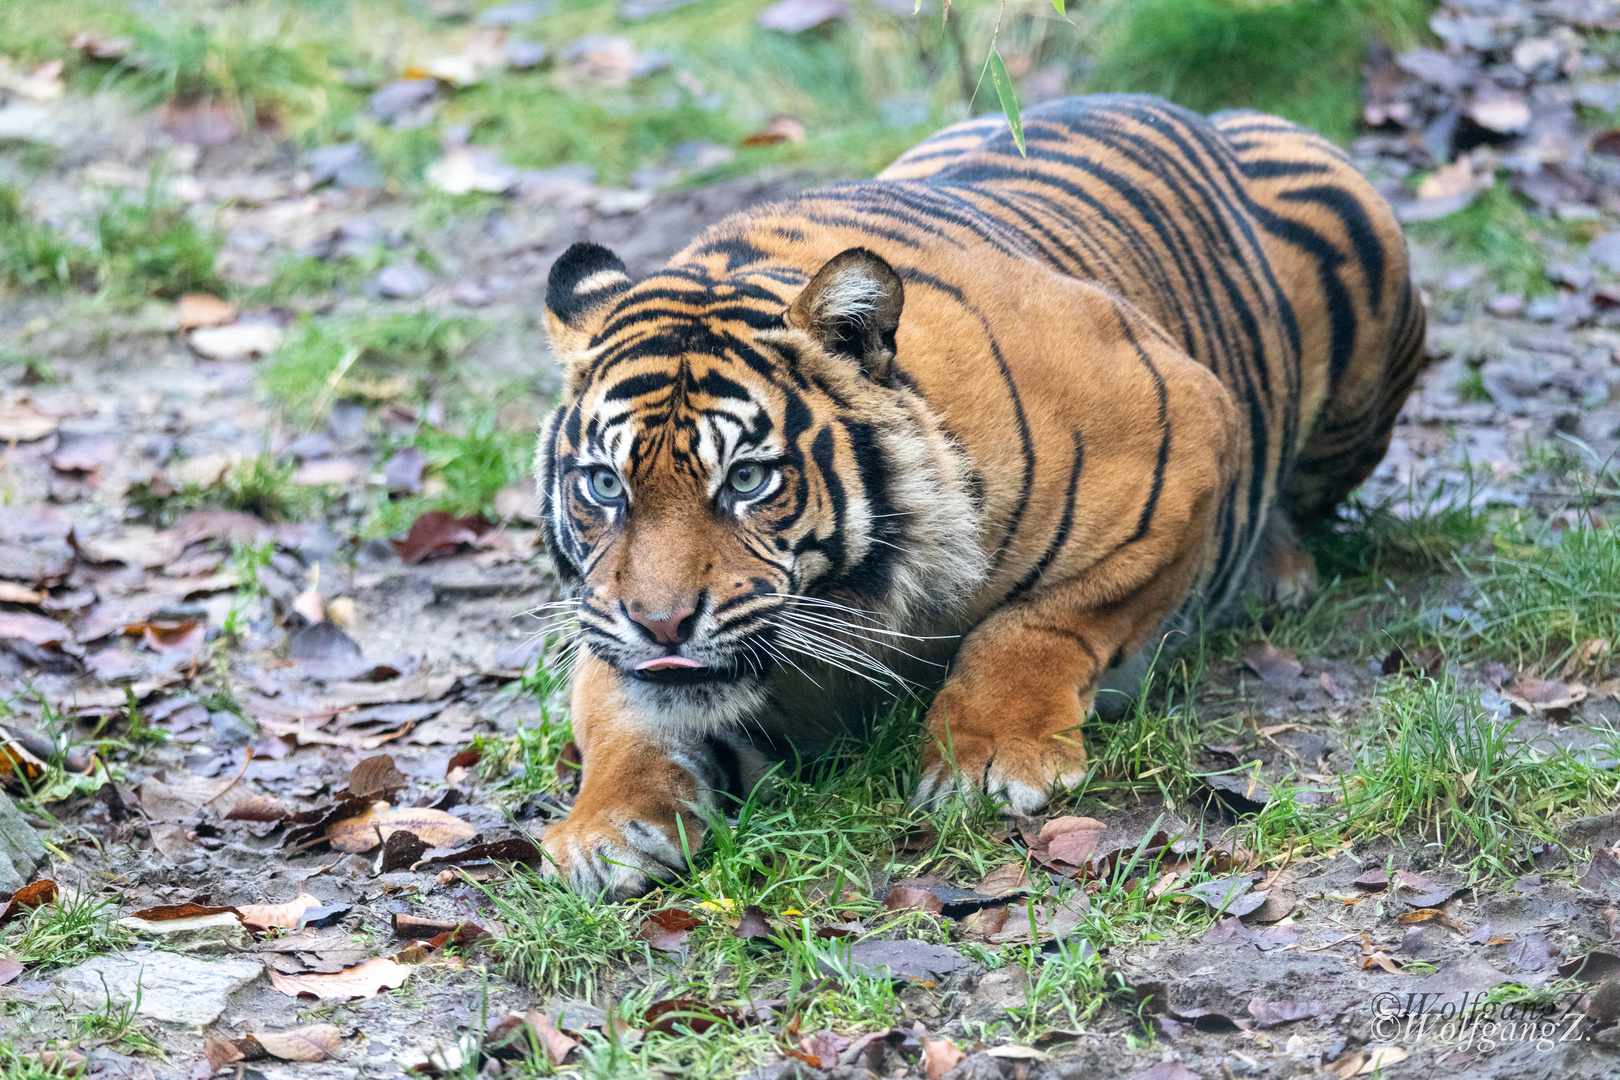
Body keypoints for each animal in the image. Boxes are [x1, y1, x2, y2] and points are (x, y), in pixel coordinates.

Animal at [532, 94, 1426, 899]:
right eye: (606, 485)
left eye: (748, 478)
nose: (662, 624)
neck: (859, 609)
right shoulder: (610, 623)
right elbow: (618, 709)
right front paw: (604, 829)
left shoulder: (1184, 437)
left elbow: (1038, 622)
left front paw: (989, 761)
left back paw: (1278, 572)